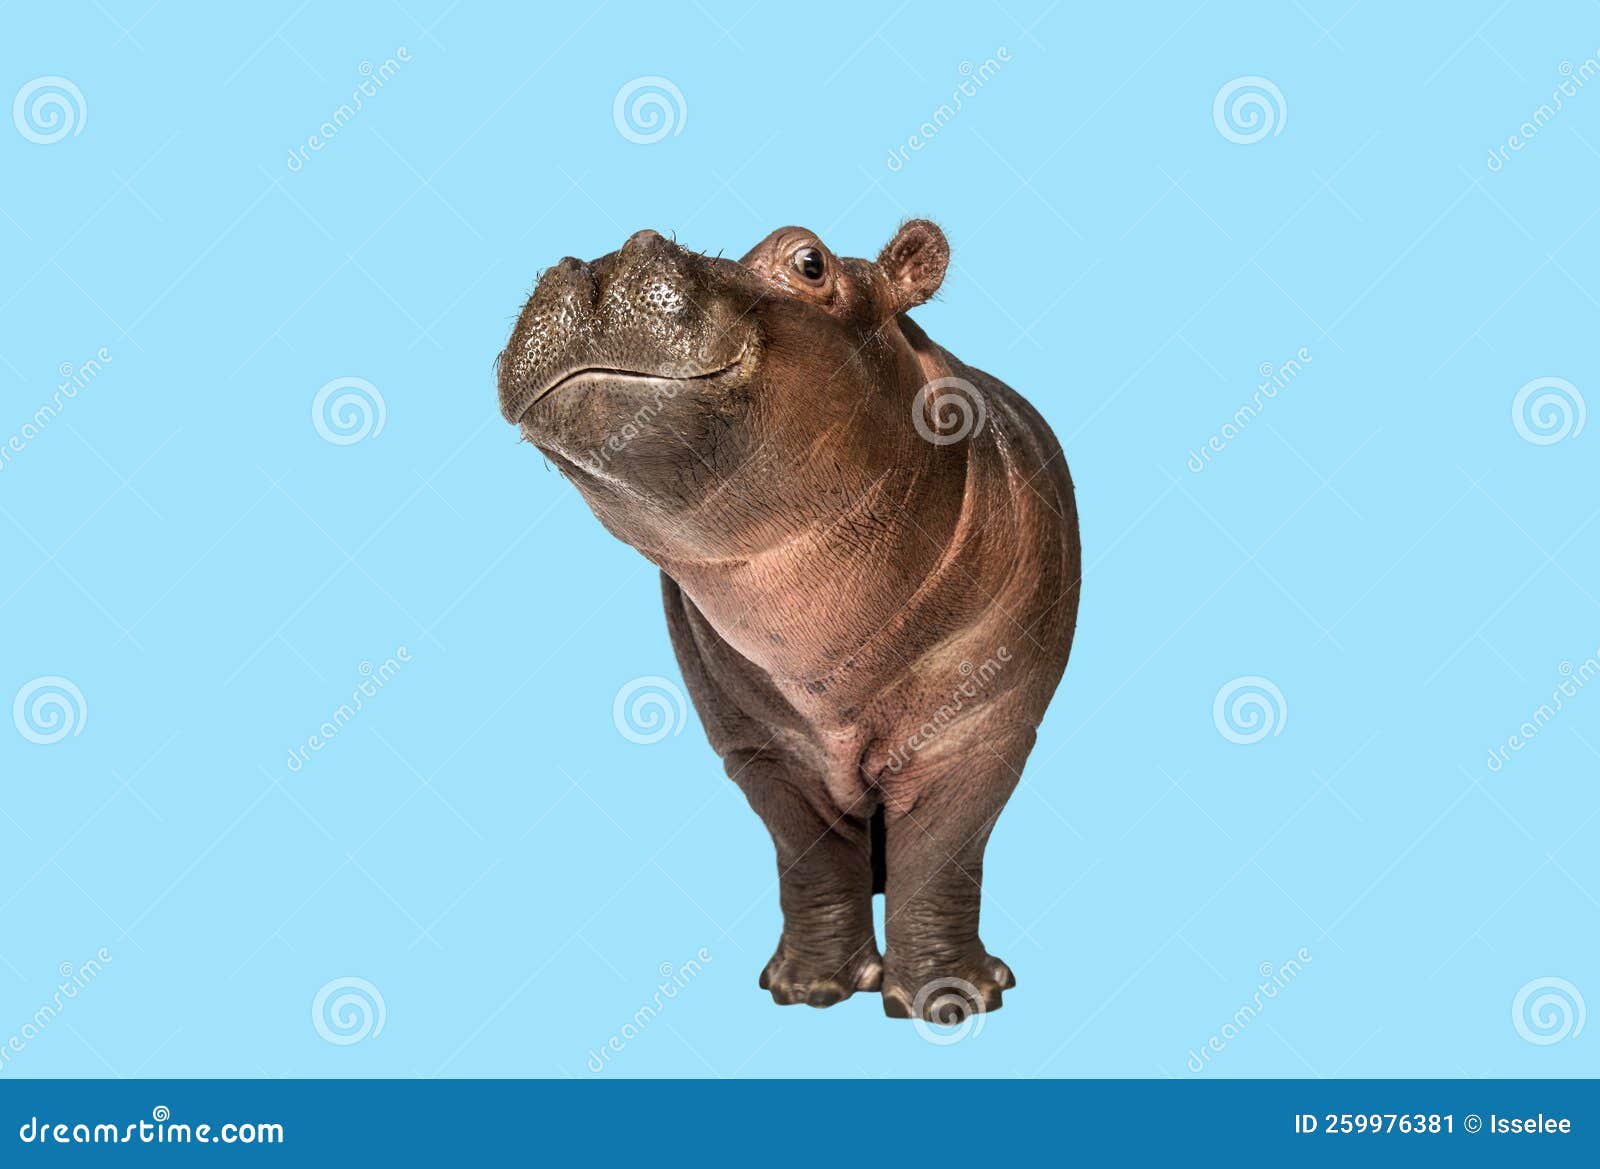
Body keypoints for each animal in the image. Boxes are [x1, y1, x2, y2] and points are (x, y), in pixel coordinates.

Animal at [497, 220, 1080, 1021]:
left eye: (809, 261)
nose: (599, 265)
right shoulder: (760, 744)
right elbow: (811, 855)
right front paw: (808, 990)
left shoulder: (980, 727)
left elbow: (940, 854)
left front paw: (953, 1001)